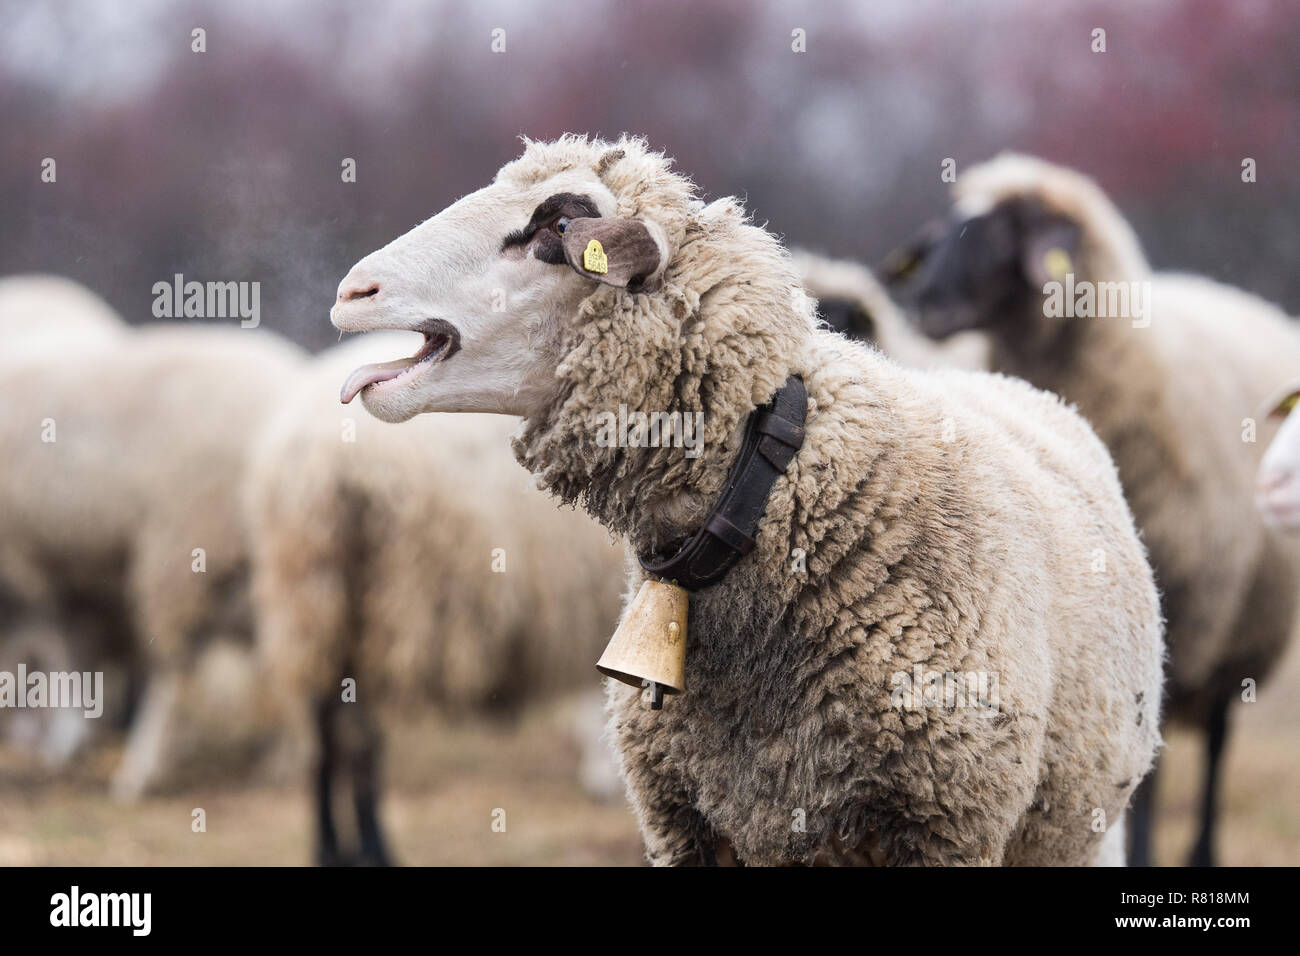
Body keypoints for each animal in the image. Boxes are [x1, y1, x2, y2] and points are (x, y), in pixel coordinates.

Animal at [0, 322, 305, 798]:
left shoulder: (31, 567)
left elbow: (55, 649)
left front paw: (64, 738)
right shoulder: (71, 574)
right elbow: (71, 649)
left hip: (180, 547)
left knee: (173, 671)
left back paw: (140, 770)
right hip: (263, 568)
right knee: (285, 650)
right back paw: (288, 758)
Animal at [243, 332, 627, 865]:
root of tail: (312, 462)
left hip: (315, 601)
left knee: (325, 732)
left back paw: (329, 847)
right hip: (387, 600)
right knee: (359, 737)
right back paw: (375, 848)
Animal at [893, 152, 1300, 866]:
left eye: (1004, 234)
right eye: (944, 229)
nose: (922, 306)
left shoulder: (1175, 616)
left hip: (1238, 625)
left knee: (1218, 737)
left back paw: (1203, 848)